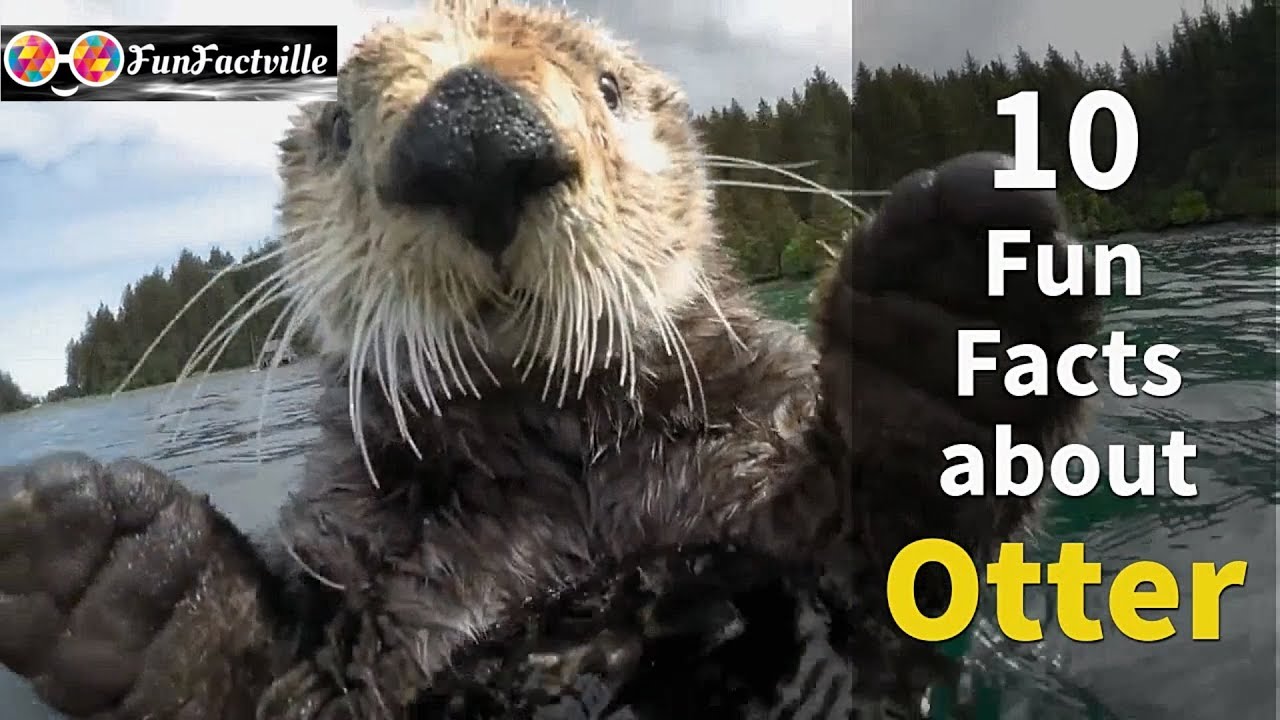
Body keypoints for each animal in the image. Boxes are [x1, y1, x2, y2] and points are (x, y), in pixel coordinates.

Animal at [0, 2, 1101, 718]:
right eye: (340, 124)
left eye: (607, 87)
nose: (471, 134)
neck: (562, 483)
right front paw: (139, 584)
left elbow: (888, 574)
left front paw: (949, 335)